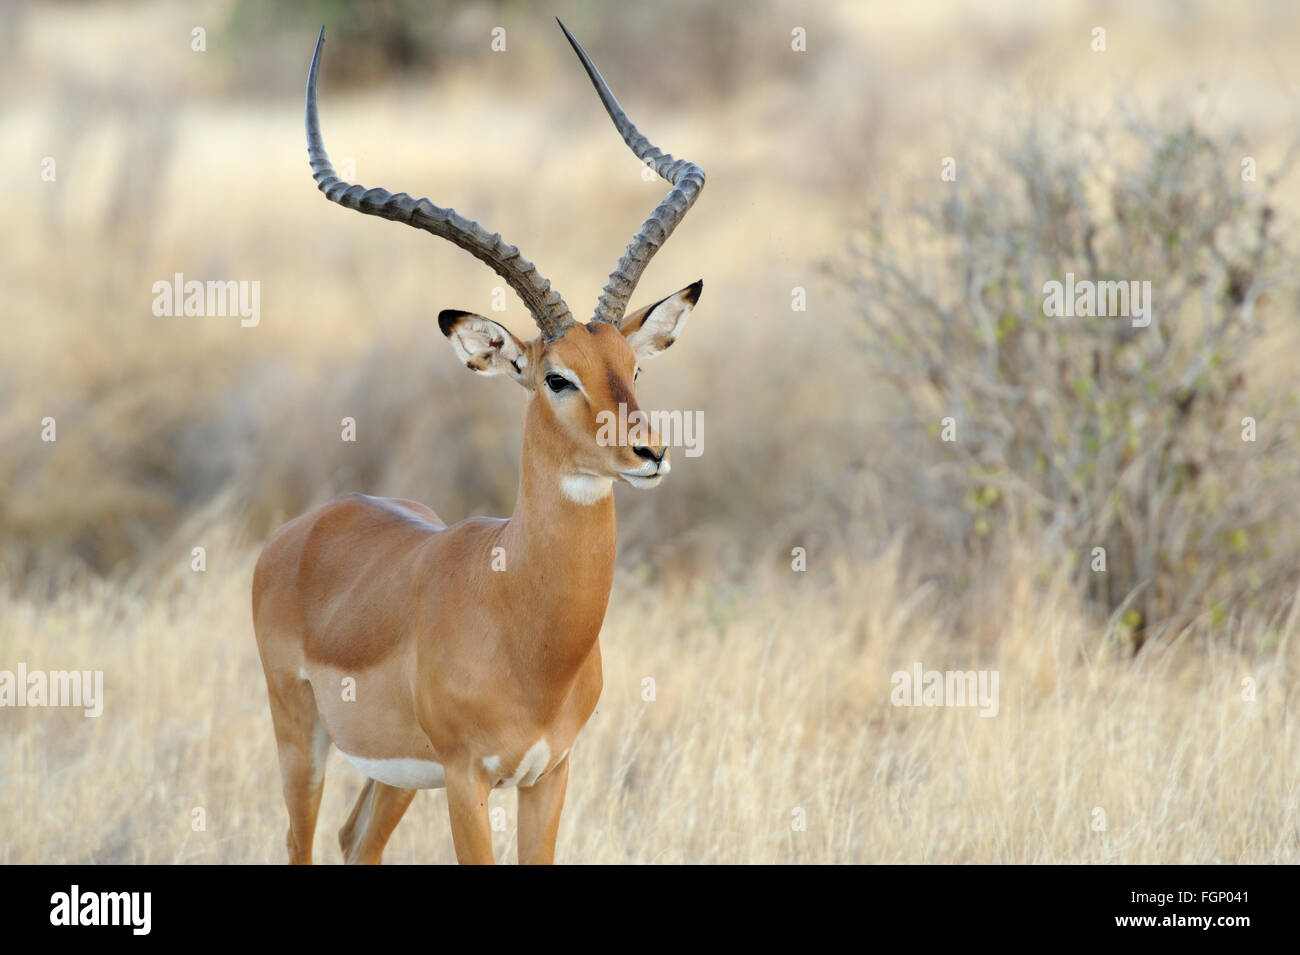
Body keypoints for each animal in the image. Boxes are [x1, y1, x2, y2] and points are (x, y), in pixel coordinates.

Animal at [252, 21, 705, 865]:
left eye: (632, 367)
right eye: (557, 377)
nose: (649, 452)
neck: (518, 611)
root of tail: (306, 527)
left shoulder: (549, 773)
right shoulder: (468, 779)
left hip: (395, 774)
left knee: (354, 839)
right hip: (303, 739)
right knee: (303, 840)